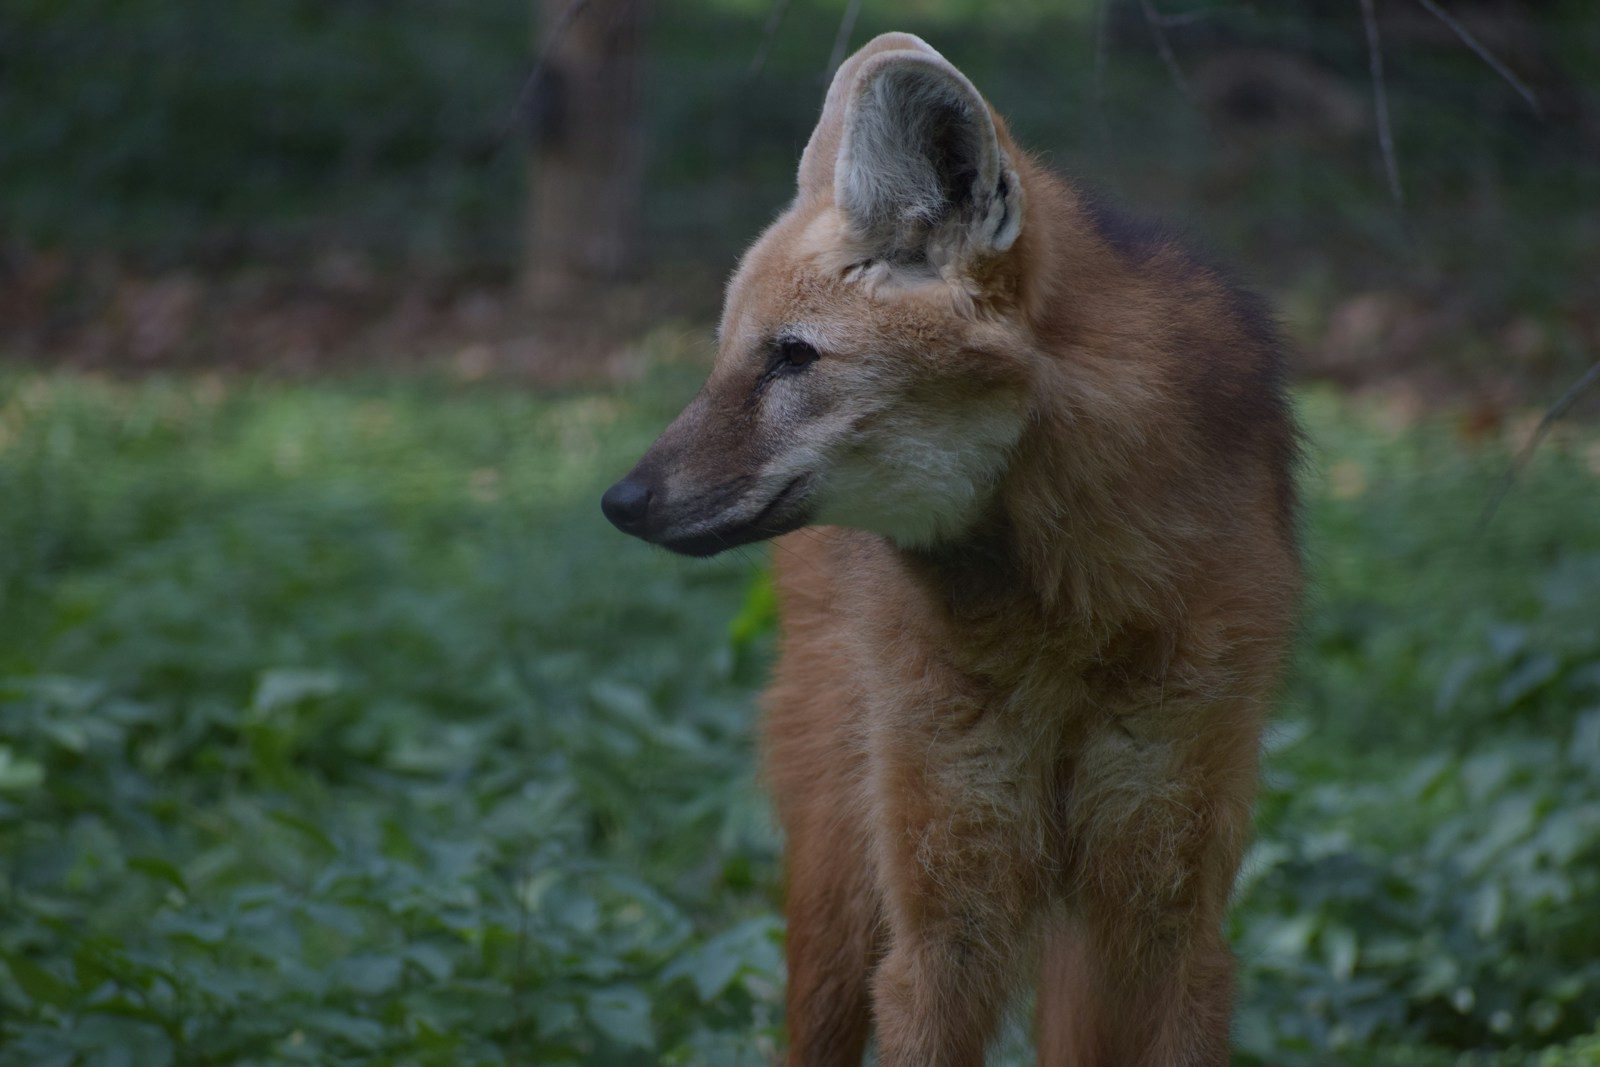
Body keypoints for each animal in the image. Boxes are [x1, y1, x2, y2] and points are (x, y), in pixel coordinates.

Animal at [601, 32, 1300, 1067]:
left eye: (794, 356)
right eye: (727, 356)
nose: (622, 501)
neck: (1068, 605)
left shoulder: (1168, 906)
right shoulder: (945, 918)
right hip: (844, 856)